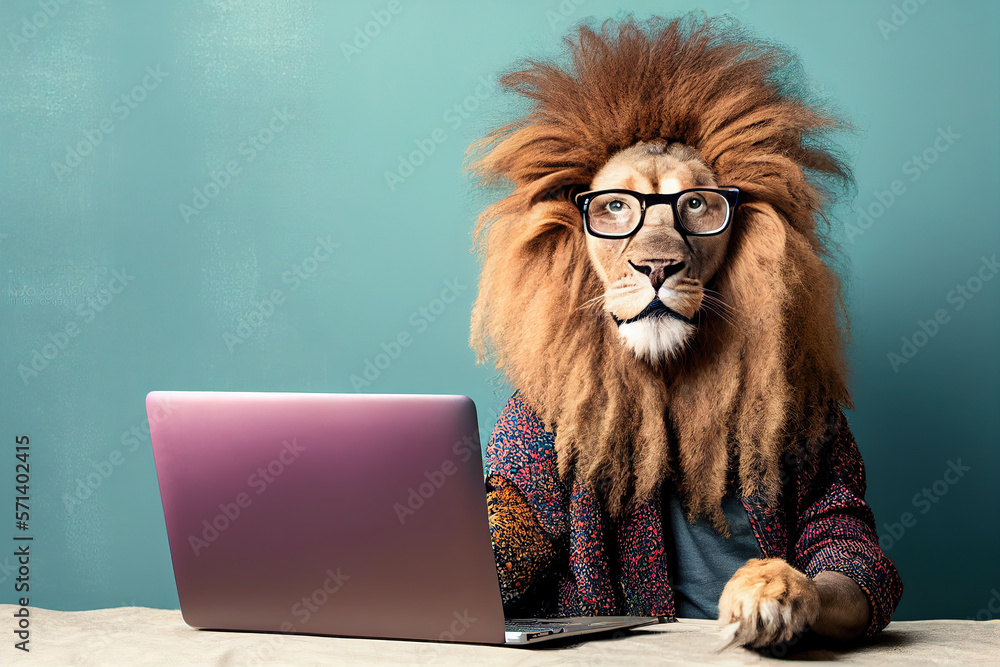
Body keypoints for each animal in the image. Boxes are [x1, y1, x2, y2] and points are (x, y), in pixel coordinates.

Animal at [467, 13, 901, 650]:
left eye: (695, 204)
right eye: (615, 207)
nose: (656, 267)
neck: (669, 370)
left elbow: (843, 539)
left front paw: (771, 589)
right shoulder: (525, 436)